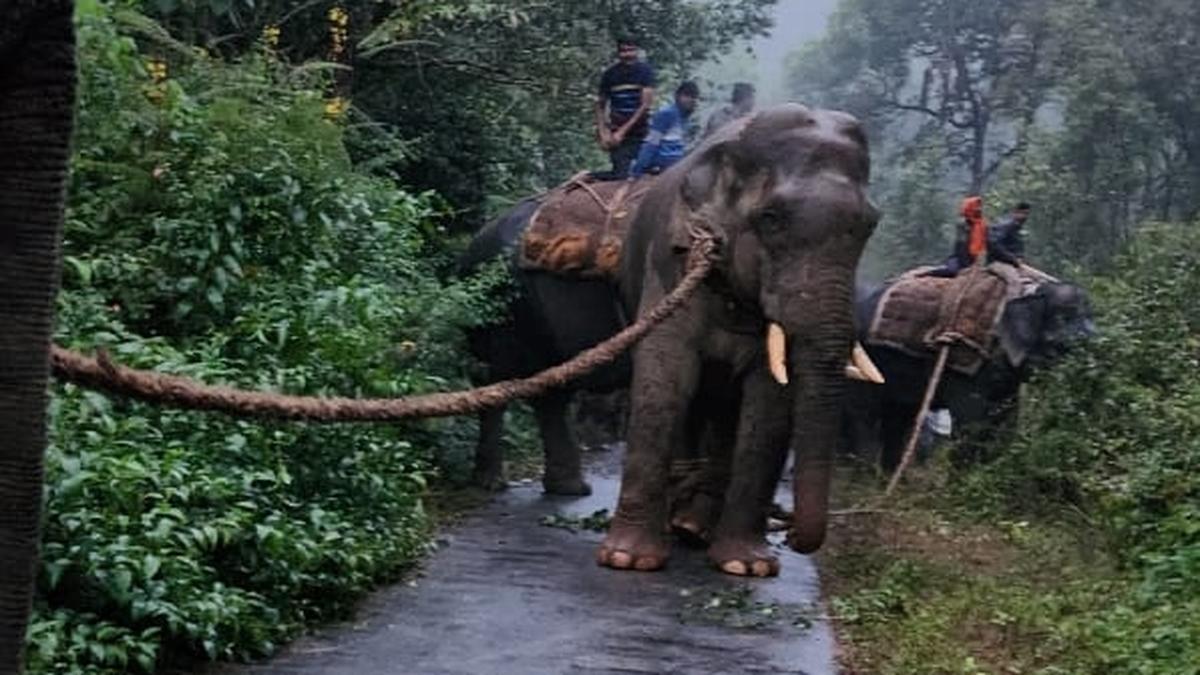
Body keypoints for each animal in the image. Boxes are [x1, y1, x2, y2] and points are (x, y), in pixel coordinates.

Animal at [846, 276, 1095, 473]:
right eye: (1065, 344)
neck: (1026, 291)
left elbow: (1007, 421)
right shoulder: (967, 363)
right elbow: (972, 424)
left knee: (897, 417)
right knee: (865, 415)